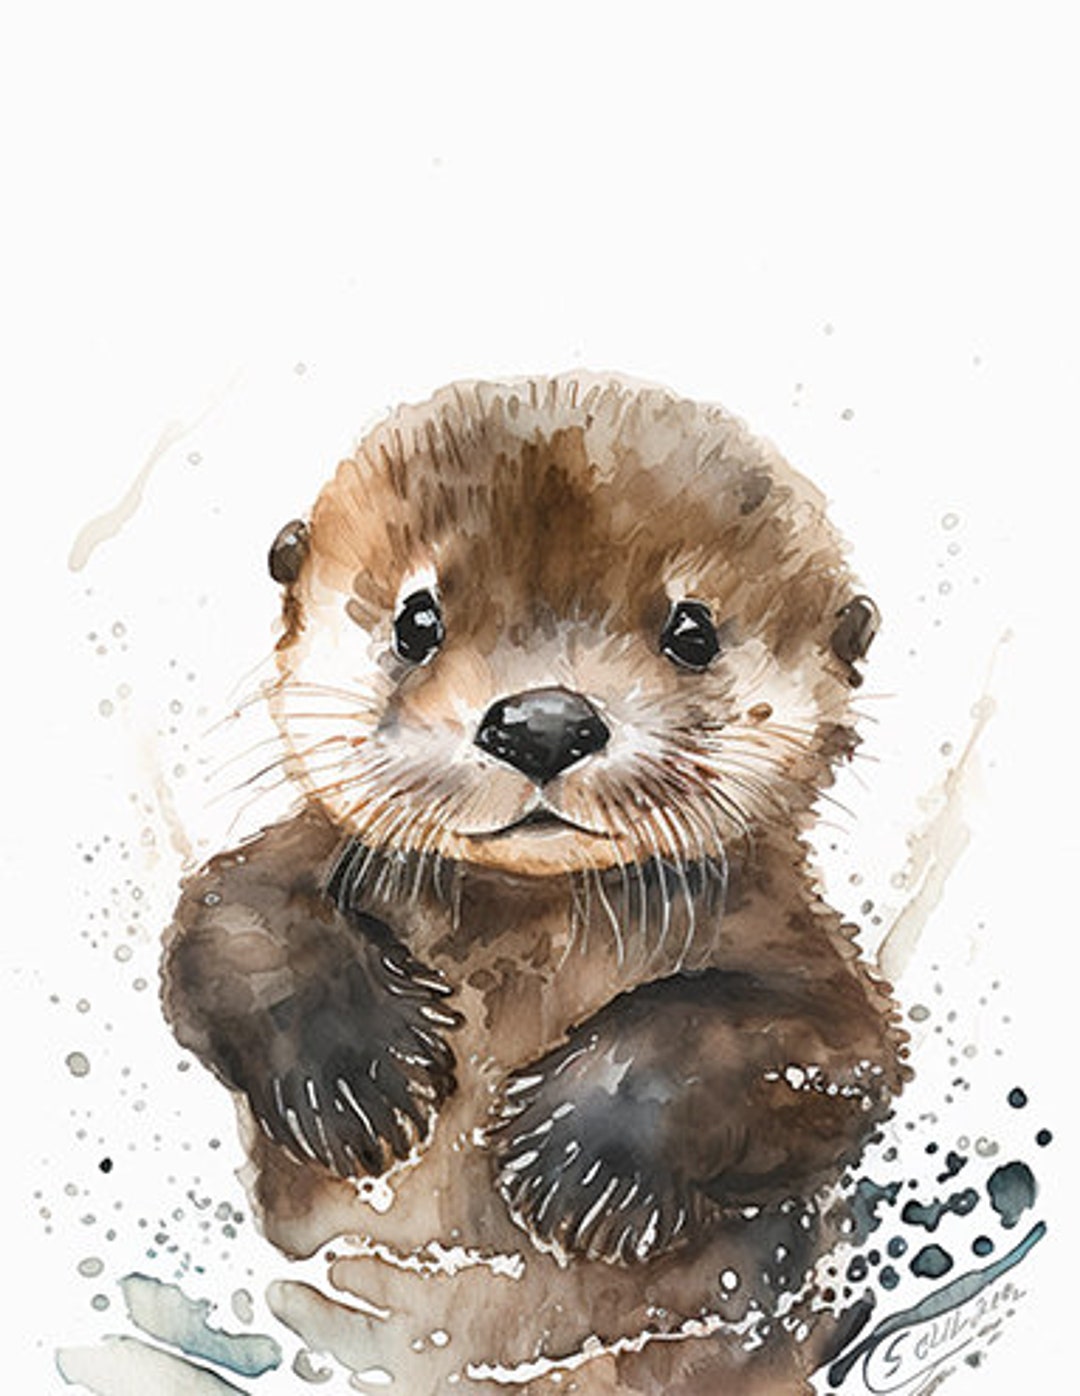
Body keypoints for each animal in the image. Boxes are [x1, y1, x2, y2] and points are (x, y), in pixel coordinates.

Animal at [161, 374, 908, 1394]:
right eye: (417, 621)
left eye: (693, 631)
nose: (544, 721)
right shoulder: (282, 863)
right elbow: (224, 923)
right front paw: (356, 1076)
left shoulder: (813, 961)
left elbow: (824, 1056)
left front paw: (579, 1156)